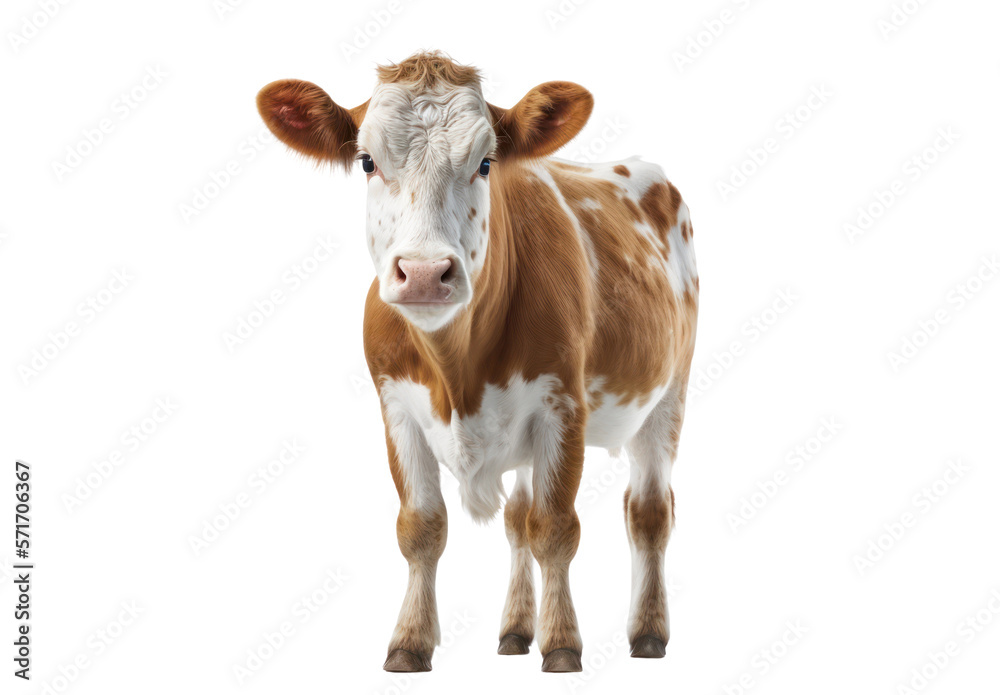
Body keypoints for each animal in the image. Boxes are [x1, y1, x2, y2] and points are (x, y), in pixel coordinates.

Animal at [257, 51, 698, 673]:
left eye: (486, 163)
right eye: (367, 161)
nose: (423, 273)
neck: (456, 368)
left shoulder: (564, 406)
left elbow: (555, 528)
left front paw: (562, 644)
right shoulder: (395, 408)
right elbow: (422, 526)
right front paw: (409, 642)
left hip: (670, 392)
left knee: (649, 513)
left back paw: (649, 634)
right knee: (517, 520)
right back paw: (514, 631)